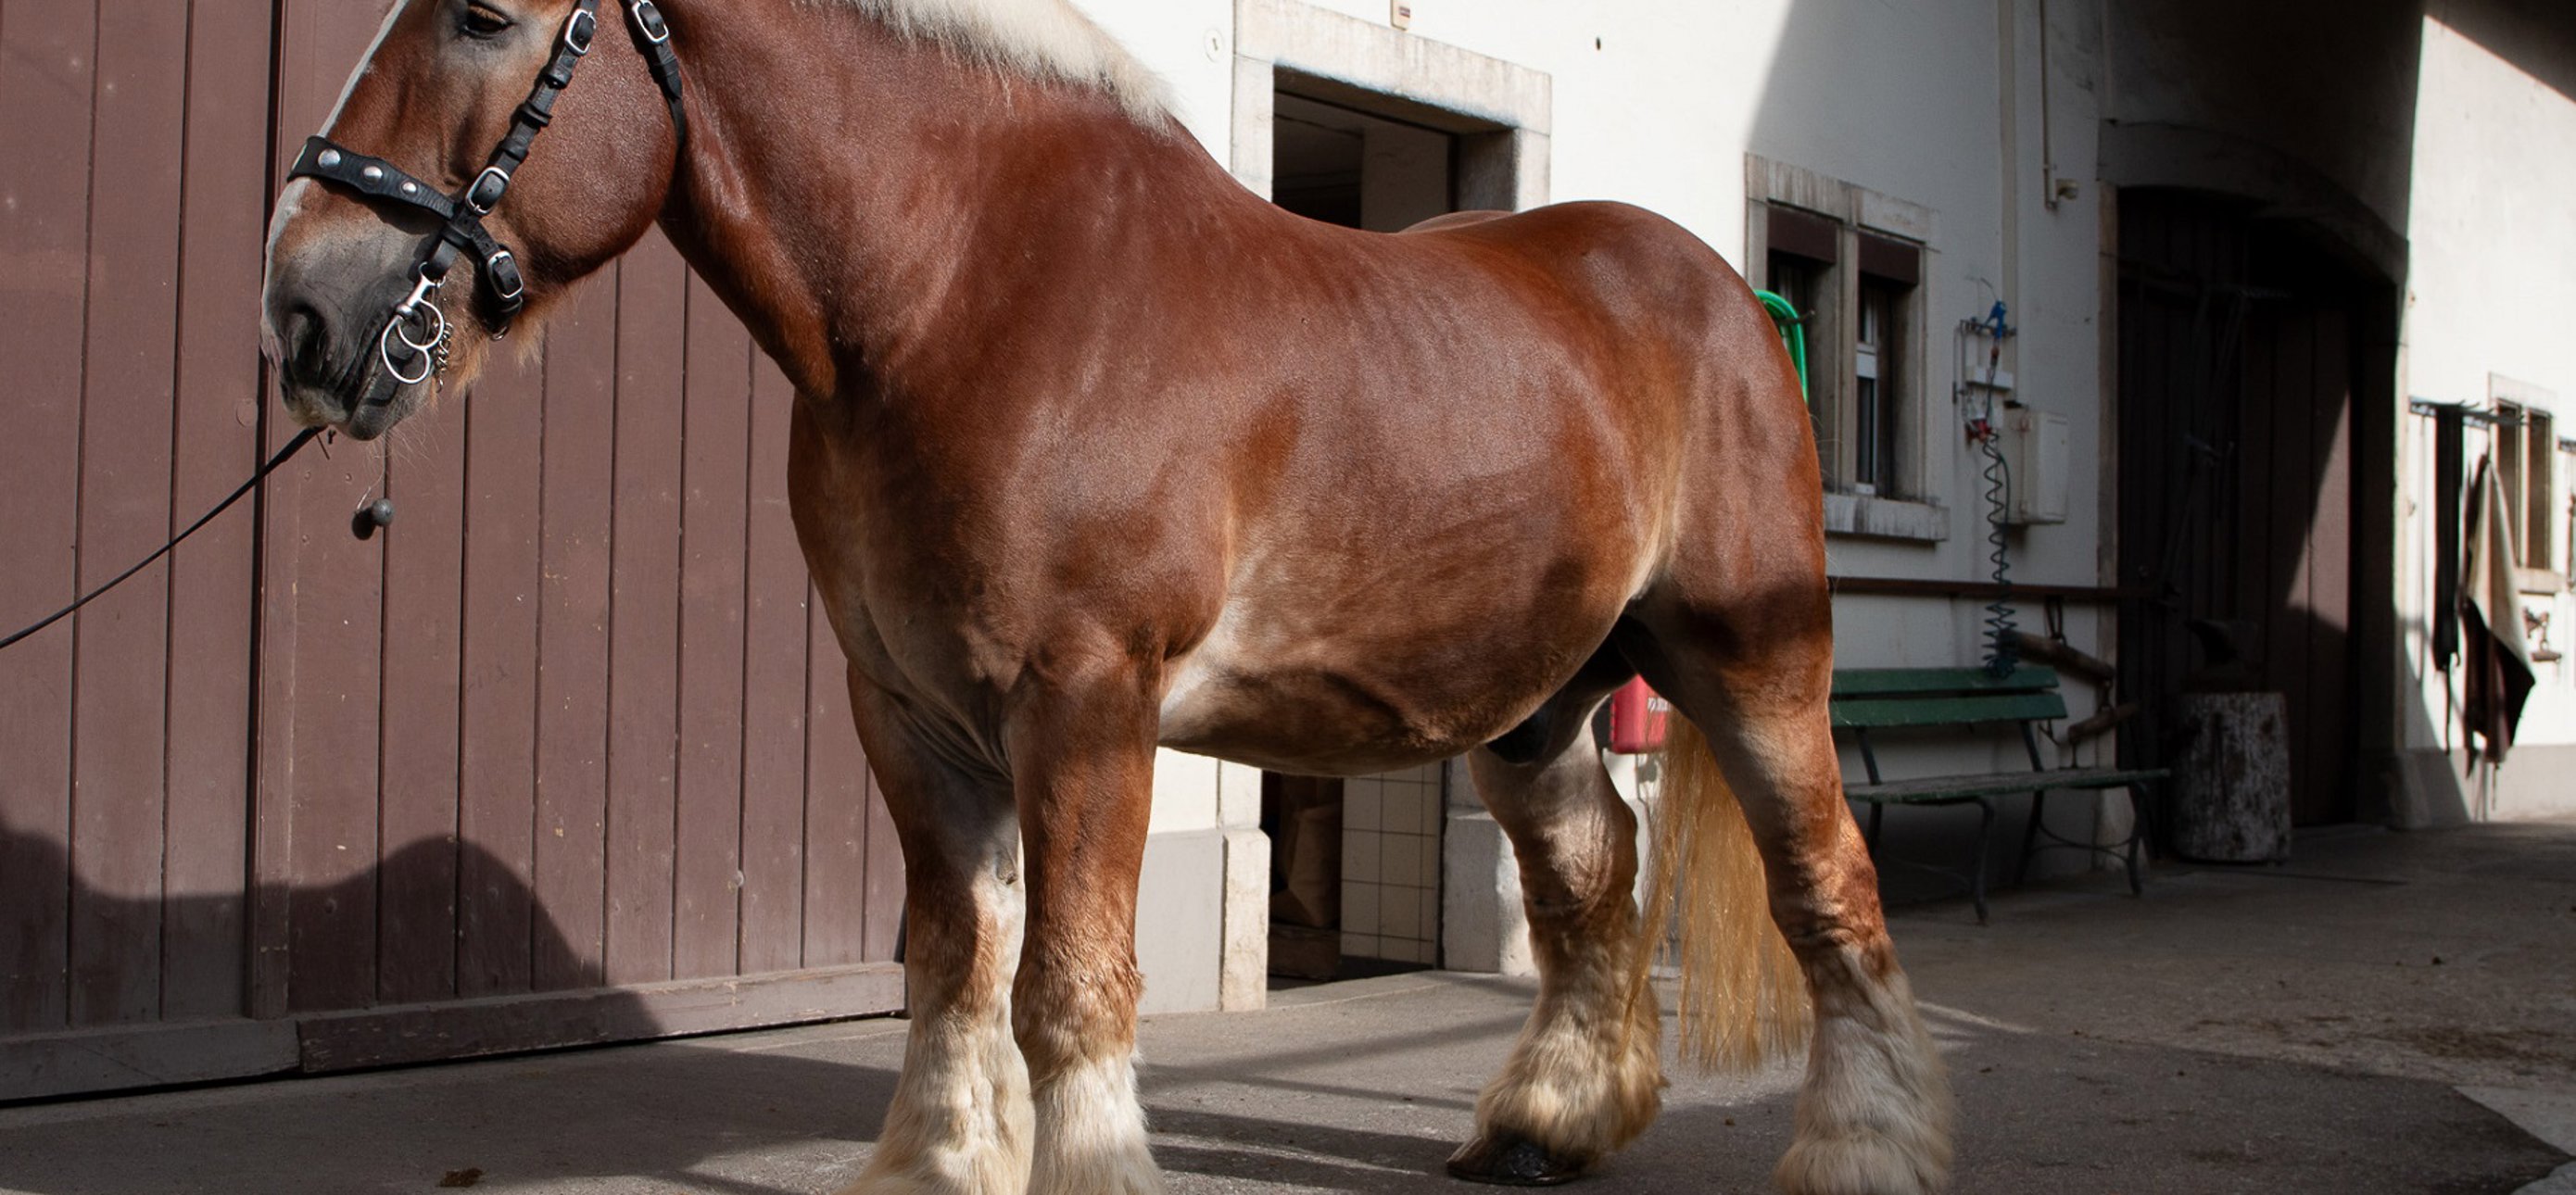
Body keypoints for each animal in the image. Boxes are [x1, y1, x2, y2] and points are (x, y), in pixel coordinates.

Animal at [258, 1, 1953, 1191]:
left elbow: (1069, 984)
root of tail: (1726, 296)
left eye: (484, 12)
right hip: (1532, 706)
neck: (960, 287)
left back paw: (1862, 1148)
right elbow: (956, 963)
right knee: (1593, 877)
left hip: (1756, 663)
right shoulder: (911, 715)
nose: (303, 310)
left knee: (1833, 892)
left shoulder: (1085, 702)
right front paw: (937, 1163)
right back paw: (1545, 1124)